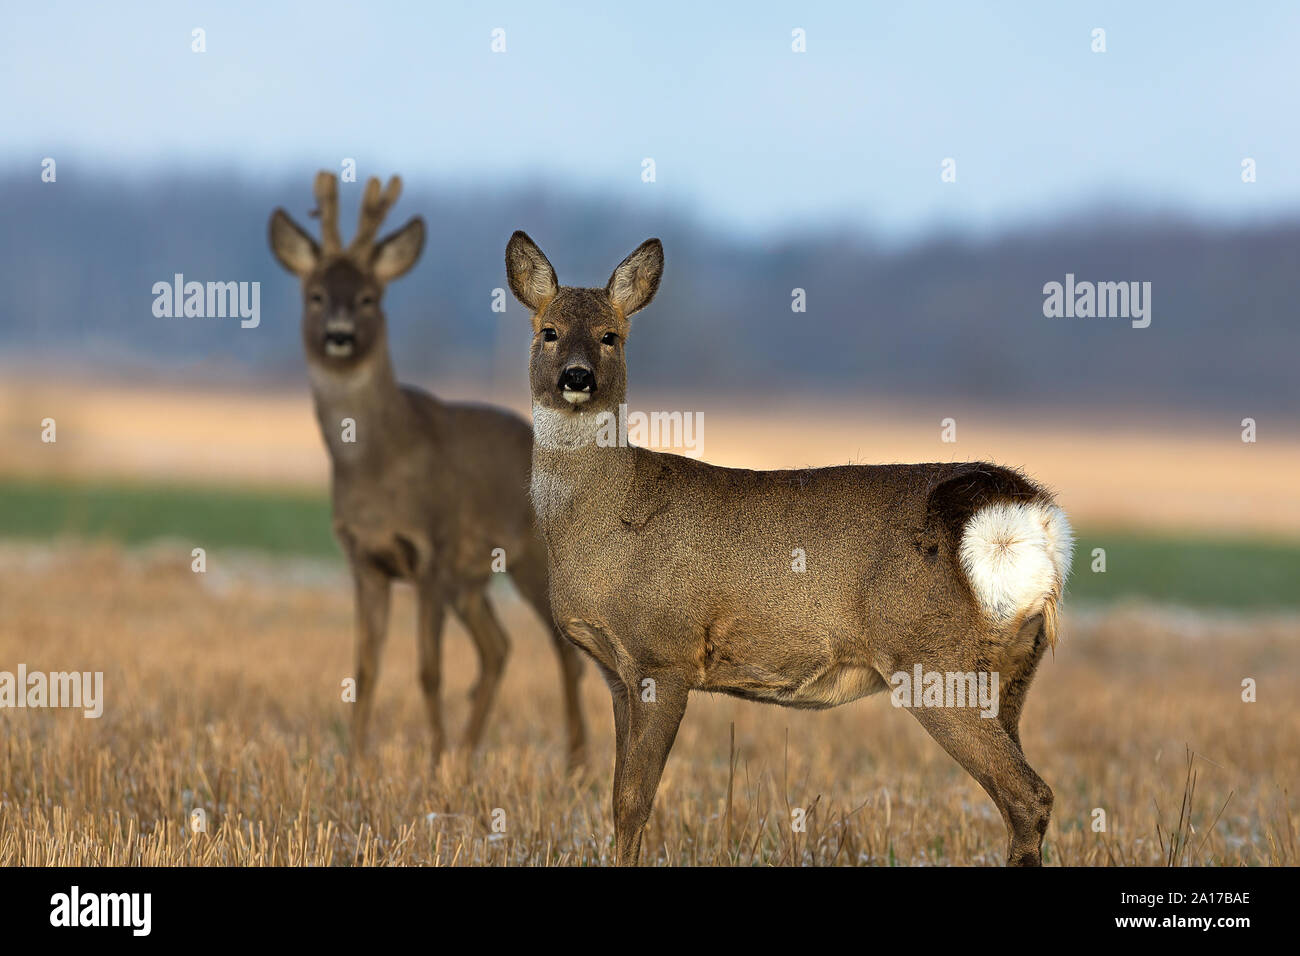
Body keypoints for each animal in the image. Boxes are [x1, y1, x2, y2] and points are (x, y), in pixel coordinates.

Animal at [266, 173, 587, 770]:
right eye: (315, 295)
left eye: (369, 297)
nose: (339, 334)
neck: (380, 466)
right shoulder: (365, 560)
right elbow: (366, 669)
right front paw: (356, 762)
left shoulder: (432, 550)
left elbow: (429, 669)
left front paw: (432, 760)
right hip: (473, 579)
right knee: (498, 648)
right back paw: (468, 752)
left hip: (531, 558)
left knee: (564, 652)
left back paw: (575, 764)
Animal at [505, 231, 1074, 866]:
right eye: (548, 330)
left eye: (611, 335)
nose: (577, 377)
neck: (605, 522)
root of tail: (1028, 513)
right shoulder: (615, 672)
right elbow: (615, 799)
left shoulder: (664, 655)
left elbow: (634, 802)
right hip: (1012, 668)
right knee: (1021, 794)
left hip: (933, 658)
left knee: (1029, 794)